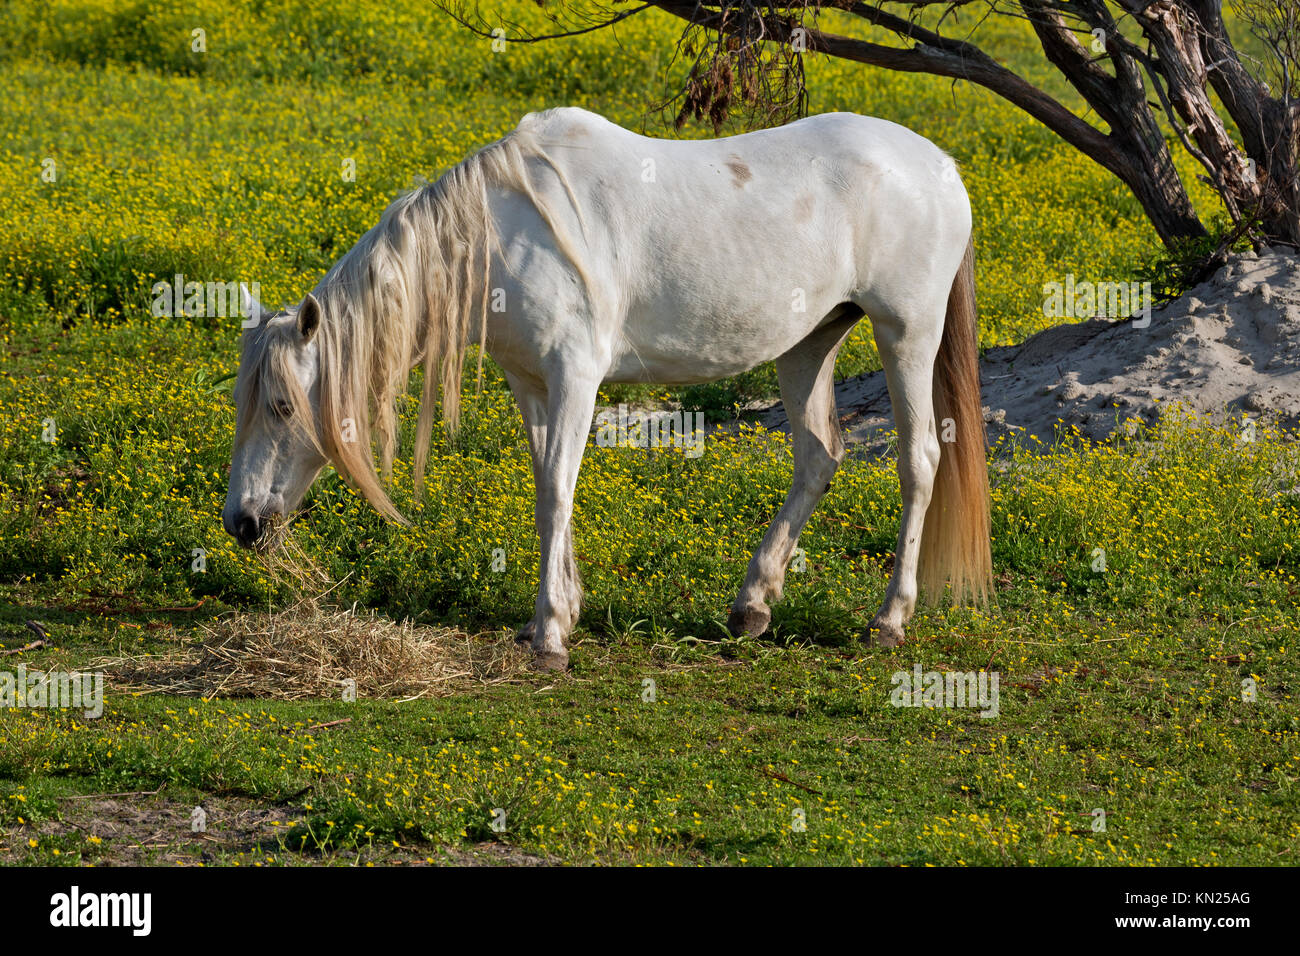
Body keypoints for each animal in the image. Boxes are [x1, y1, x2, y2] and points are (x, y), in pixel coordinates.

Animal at [222, 106, 992, 670]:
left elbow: (557, 494)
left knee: (919, 461)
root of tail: (942, 167)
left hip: (905, 333)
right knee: (817, 457)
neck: (503, 234)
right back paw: (751, 606)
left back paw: (888, 619)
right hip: (810, 342)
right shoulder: (531, 384)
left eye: (284, 407)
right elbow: (547, 488)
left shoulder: (575, 377)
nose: (242, 523)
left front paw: (548, 638)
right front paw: (561, 612)